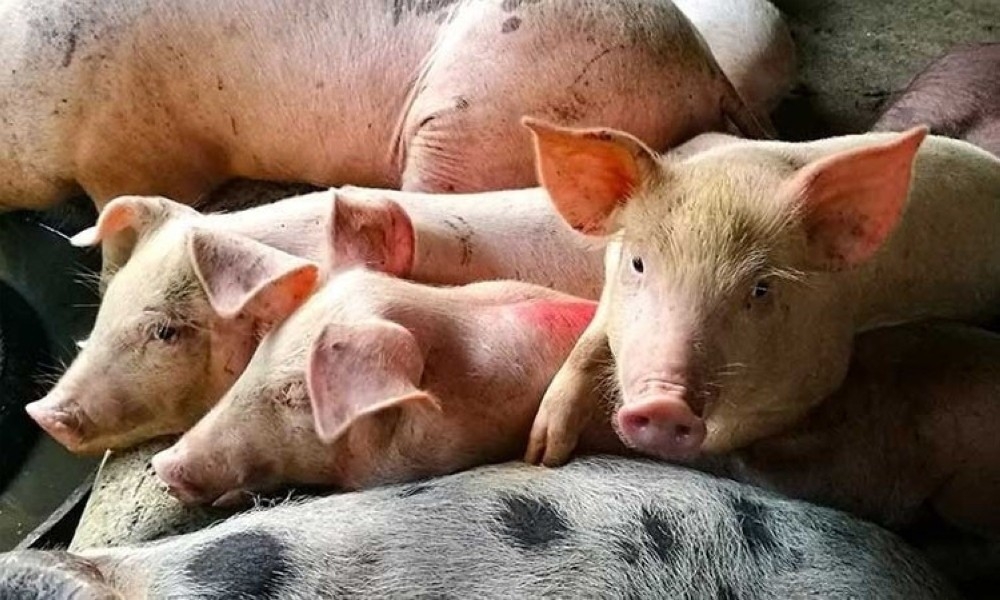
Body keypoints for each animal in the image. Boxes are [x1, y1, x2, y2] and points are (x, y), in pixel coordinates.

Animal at [520, 117, 1000, 466]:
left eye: (761, 288)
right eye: (639, 263)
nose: (664, 404)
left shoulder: (817, 375)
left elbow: (724, 437)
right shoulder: (609, 277)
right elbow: (587, 347)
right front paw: (540, 455)